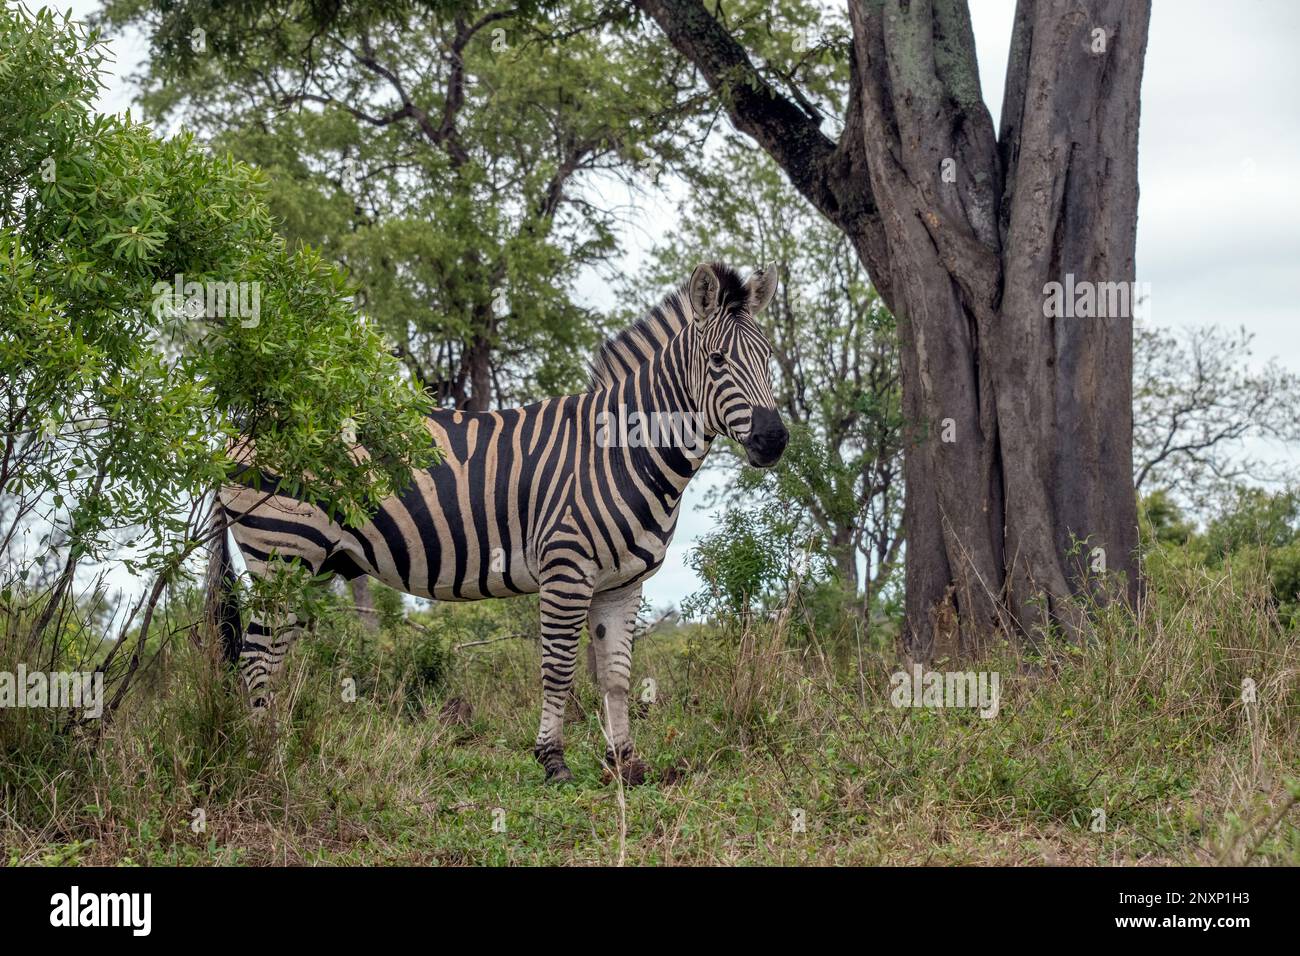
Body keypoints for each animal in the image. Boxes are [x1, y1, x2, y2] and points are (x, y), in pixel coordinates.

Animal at [209, 262, 789, 783]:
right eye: (718, 360)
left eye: (768, 359)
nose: (775, 440)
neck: (621, 450)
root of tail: (242, 426)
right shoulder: (566, 567)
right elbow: (559, 668)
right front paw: (553, 762)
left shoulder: (623, 583)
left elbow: (617, 676)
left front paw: (625, 764)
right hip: (284, 551)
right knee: (256, 657)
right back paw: (263, 761)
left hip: (310, 565)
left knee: (273, 656)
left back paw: (277, 747)